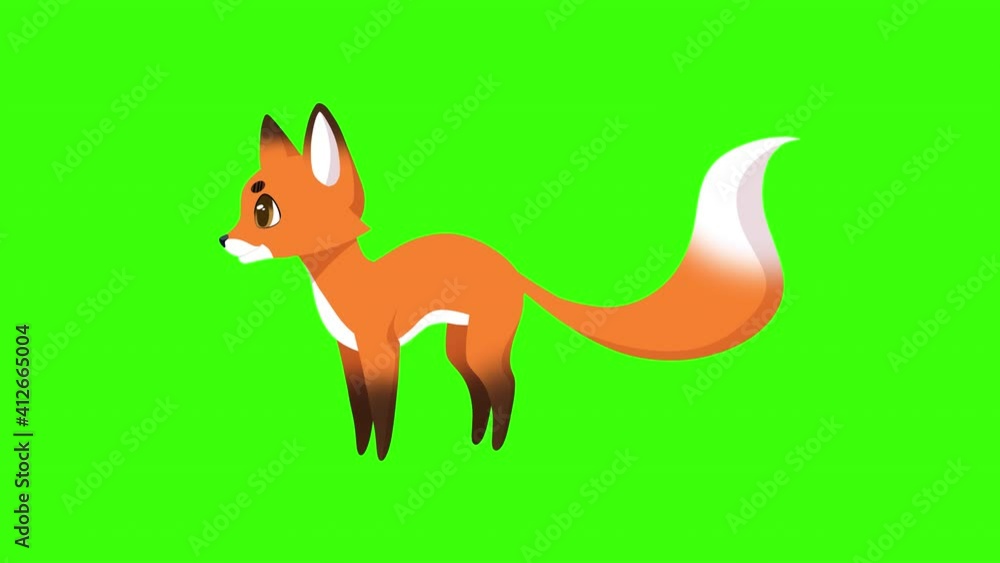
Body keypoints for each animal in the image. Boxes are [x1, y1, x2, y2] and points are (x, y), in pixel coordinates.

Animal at [221, 103, 794, 460]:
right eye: (247, 203)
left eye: (266, 212)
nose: (224, 241)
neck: (347, 285)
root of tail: (508, 265)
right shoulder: (348, 356)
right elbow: (359, 416)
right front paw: (359, 457)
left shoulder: (382, 351)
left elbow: (384, 417)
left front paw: (380, 461)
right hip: (461, 346)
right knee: (481, 389)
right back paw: (476, 443)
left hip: (483, 344)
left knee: (507, 385)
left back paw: (495, 449)